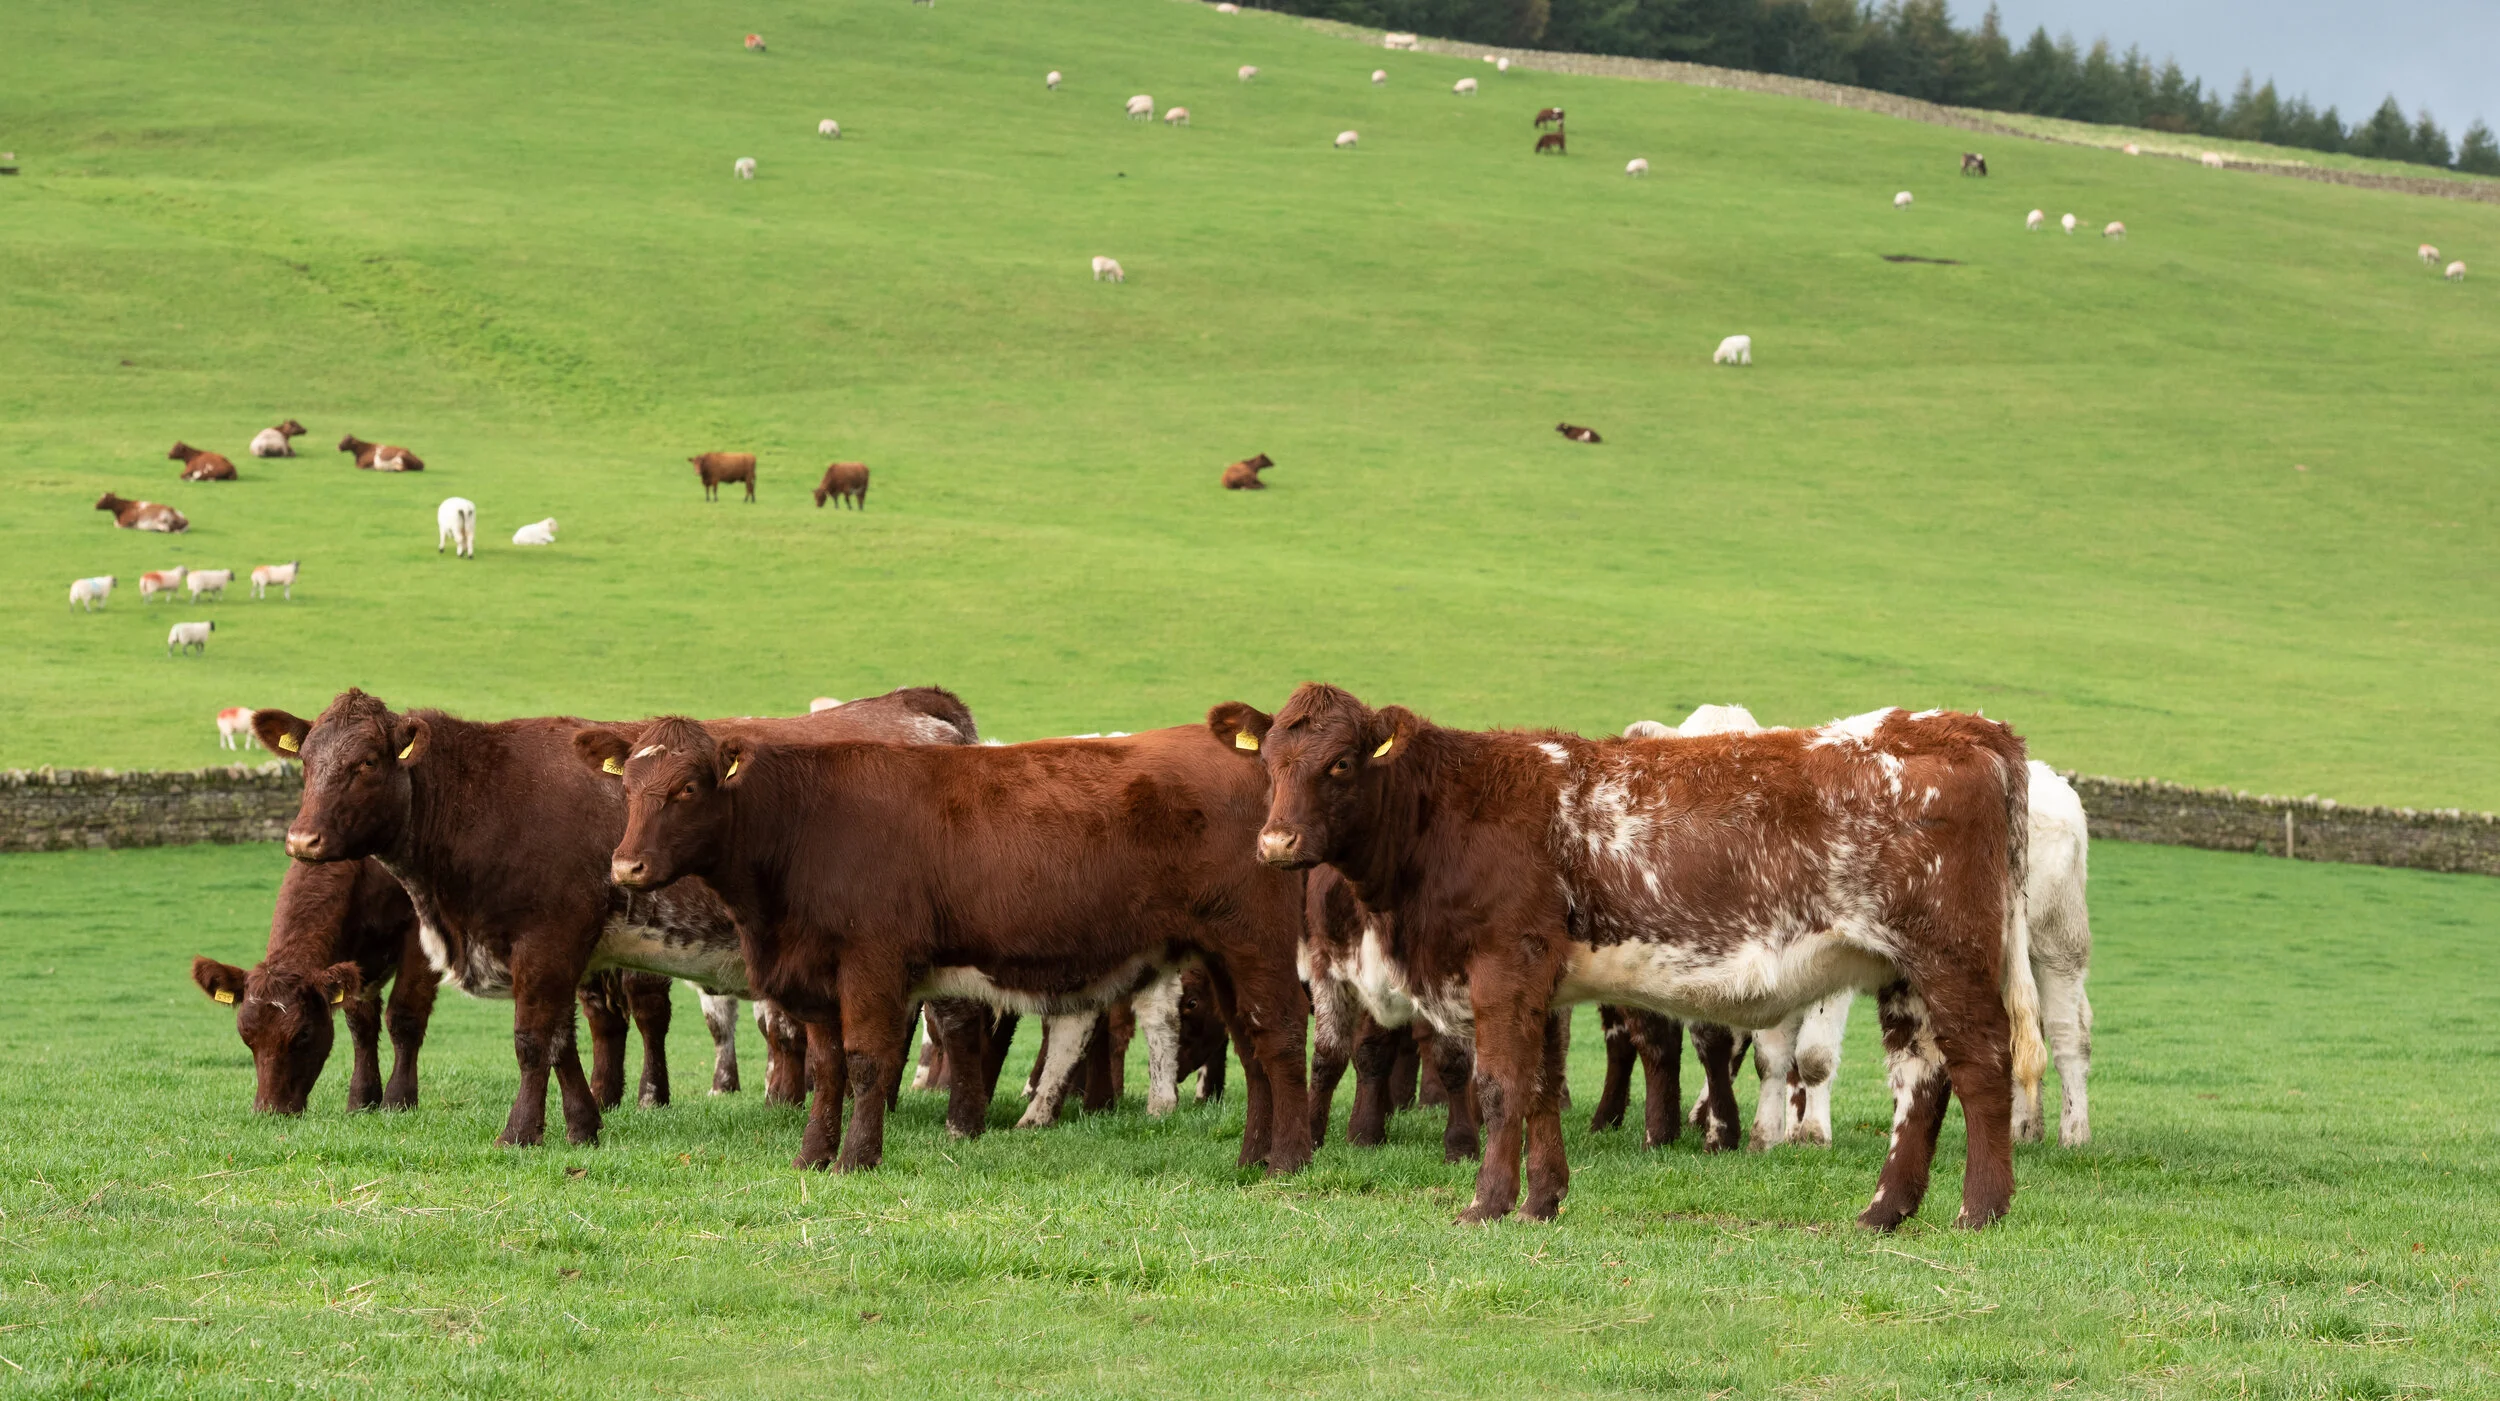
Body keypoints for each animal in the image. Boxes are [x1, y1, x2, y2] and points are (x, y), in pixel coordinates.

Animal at [251, 685, 979, 1148]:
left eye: (366, 761)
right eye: (306, 761)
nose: (302, 840)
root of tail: (915, 708)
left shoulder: (546, 938)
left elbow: (531, 1040)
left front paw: (520, 1133)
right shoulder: (567, 951)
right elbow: (563, 1040)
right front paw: (582, 1125)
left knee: (957, 1021)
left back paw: (964, 1120)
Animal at [586, 719, 1316, 1176]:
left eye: (687, 787)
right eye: (627, 788)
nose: (625, 866)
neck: (805, 823)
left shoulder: (872, 964)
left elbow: (867, 1062)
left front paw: (856, 1159)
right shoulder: (814, 976)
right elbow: (827, 1066)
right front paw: (811, 1155)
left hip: (1256, 942)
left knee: (1279, 1036)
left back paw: (1288, 1160)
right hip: (1221, 955)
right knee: (1252, 1045)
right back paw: (1251, 1157)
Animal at [1211, 684, 2045, 1229]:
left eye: (1341, 762)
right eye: (1273, 760)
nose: (1275, 842)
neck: (1449, 810)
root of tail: (1958, 724)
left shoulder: (1501, 966)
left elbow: (1499, 1086)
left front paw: (1486, 1201)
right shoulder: (1541, 982)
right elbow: (1542, 1088)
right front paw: (1542, 1199)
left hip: (1950, 955)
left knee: (1981, 1068)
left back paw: (1980, 1206)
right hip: (1906, 974)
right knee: (1920, 1081)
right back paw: (1884, 1209)